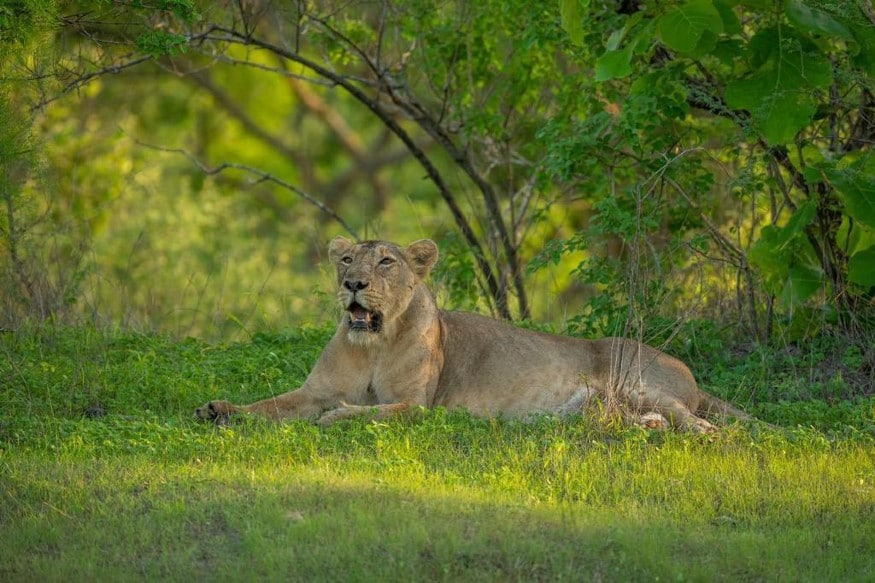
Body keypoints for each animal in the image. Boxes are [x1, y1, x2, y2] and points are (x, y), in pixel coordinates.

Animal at [196, 237, 751, 432]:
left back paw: (698, 430)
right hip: (608, 407)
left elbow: (370, 411)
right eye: (347, 259)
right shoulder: (313, 390)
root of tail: (690, 372)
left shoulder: (416, 405)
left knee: (697, 420)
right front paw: (218, 410)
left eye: (386, 262)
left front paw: (337, 417)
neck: (373, 345)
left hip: (632, 380)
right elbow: (270, 405)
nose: (354, 283)